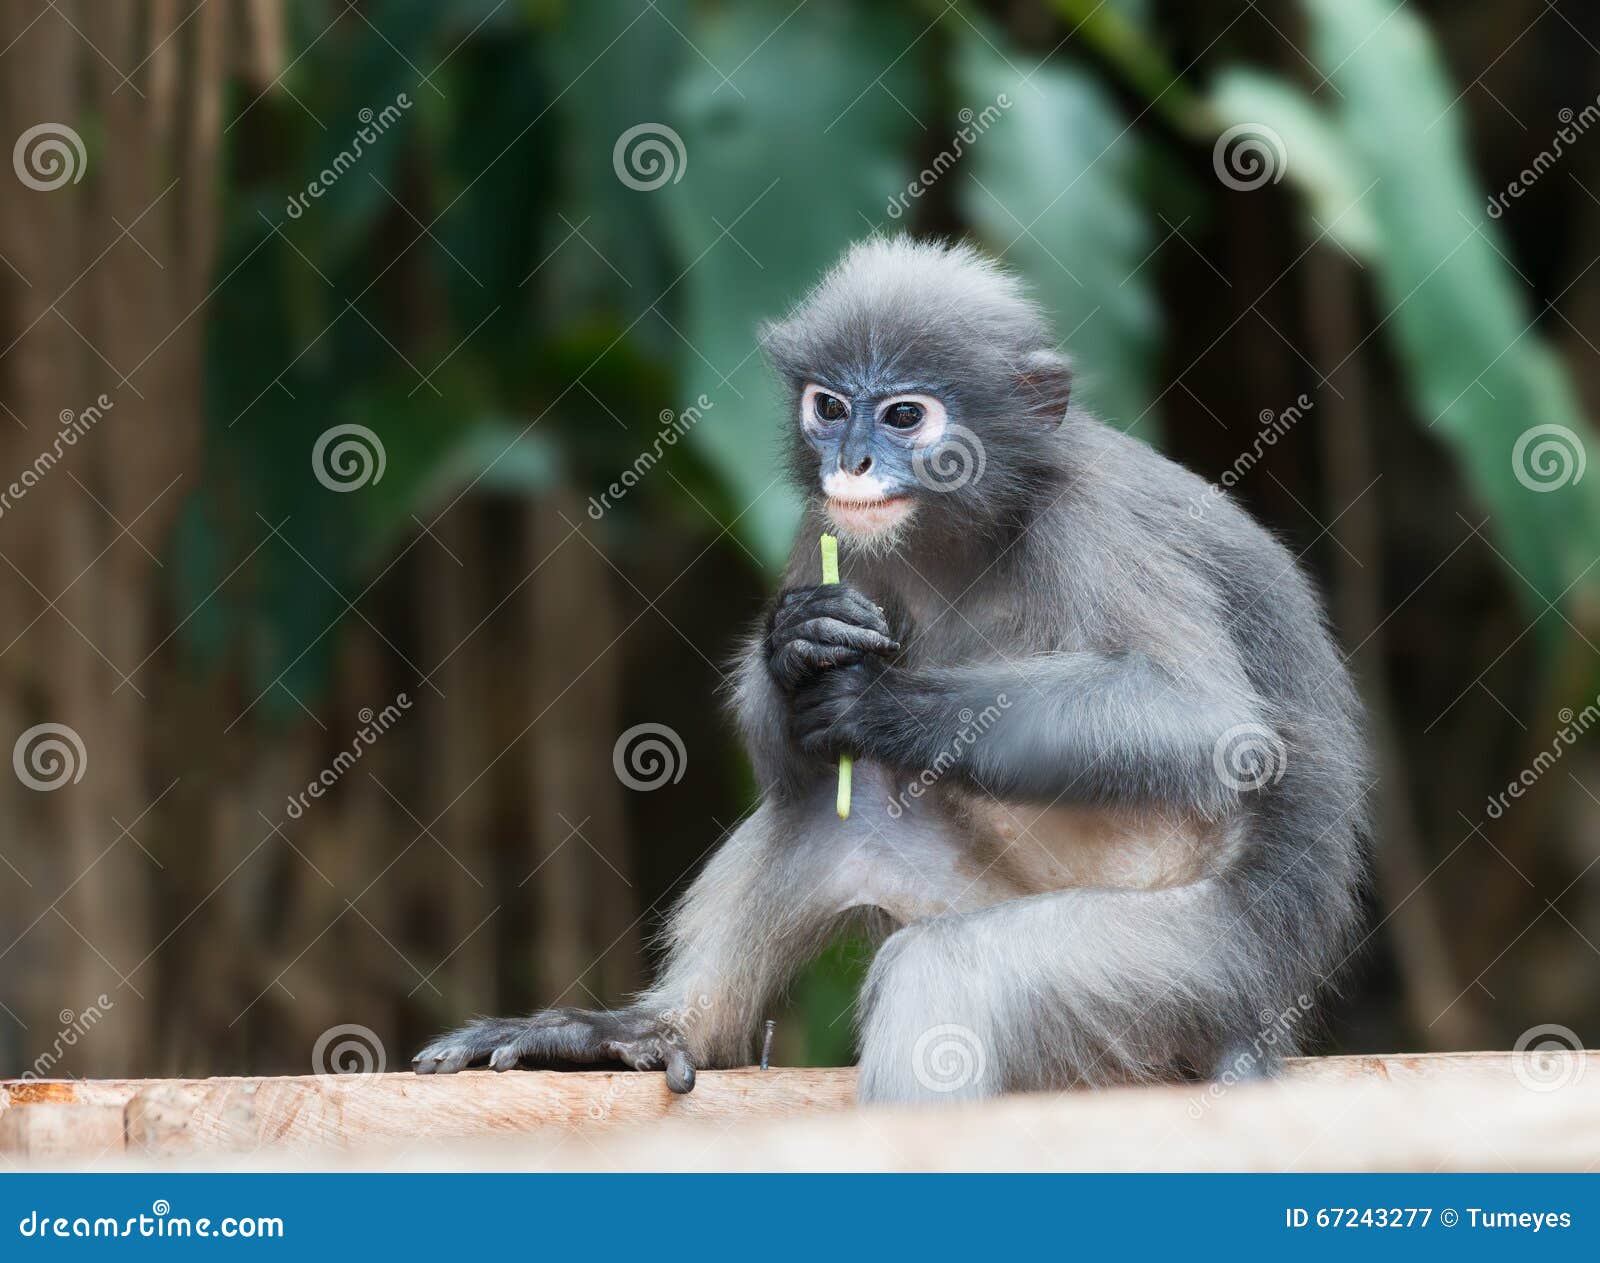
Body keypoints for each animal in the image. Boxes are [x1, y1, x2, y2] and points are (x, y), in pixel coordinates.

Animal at [413, 237, 1370, 1102]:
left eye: (906, 416)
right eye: (831, 406)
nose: (853, 462)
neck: (971, 527)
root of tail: (1266, 1016)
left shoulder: (1094, 522)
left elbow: (1208, 727)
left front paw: (877, 702)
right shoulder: (826, 526)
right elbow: (792, 746)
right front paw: (796, 645)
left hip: (1192, 968)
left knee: (949, 974)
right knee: (828, 803)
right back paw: (646, 1033)